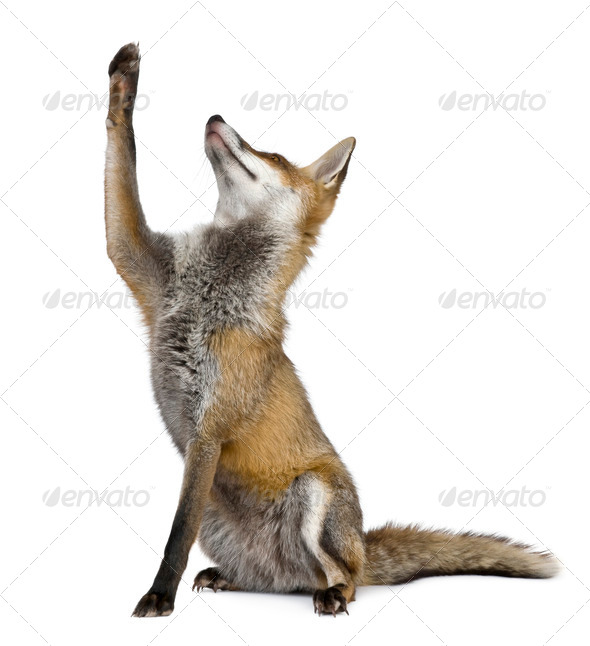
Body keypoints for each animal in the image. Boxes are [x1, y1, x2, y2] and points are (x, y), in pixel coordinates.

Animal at [104, 43, 558, 618]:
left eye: (272, 155)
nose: (214, 118)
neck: (213, 287)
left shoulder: (209, 430)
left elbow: (175, 536)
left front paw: (159, 596)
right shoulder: (140, 264)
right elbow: (121, 155)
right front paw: (124, 81)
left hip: (314, 495)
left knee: (348, 575)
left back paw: (335, 594)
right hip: (224, 524)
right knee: (275, 580)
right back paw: (236, 578)